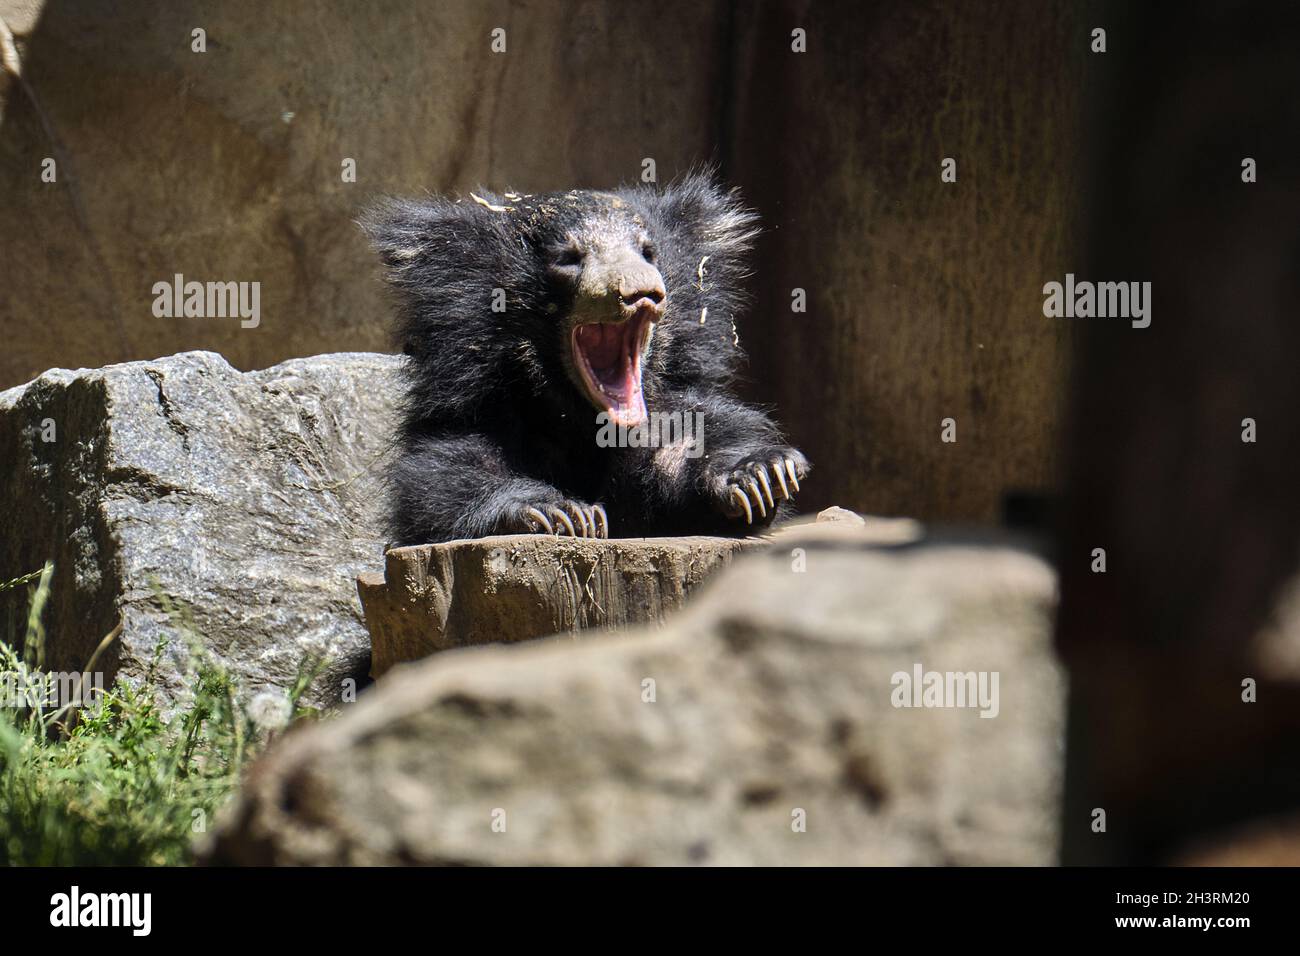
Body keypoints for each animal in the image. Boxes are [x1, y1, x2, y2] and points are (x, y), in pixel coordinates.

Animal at [363, 172, 810, 545]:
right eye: (569, 258)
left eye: (648, 253)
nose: (641, 291)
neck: (580, 420)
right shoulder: (479, 402)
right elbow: (442, 475)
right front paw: (560, 513)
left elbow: (697, 435)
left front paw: (763, 474)